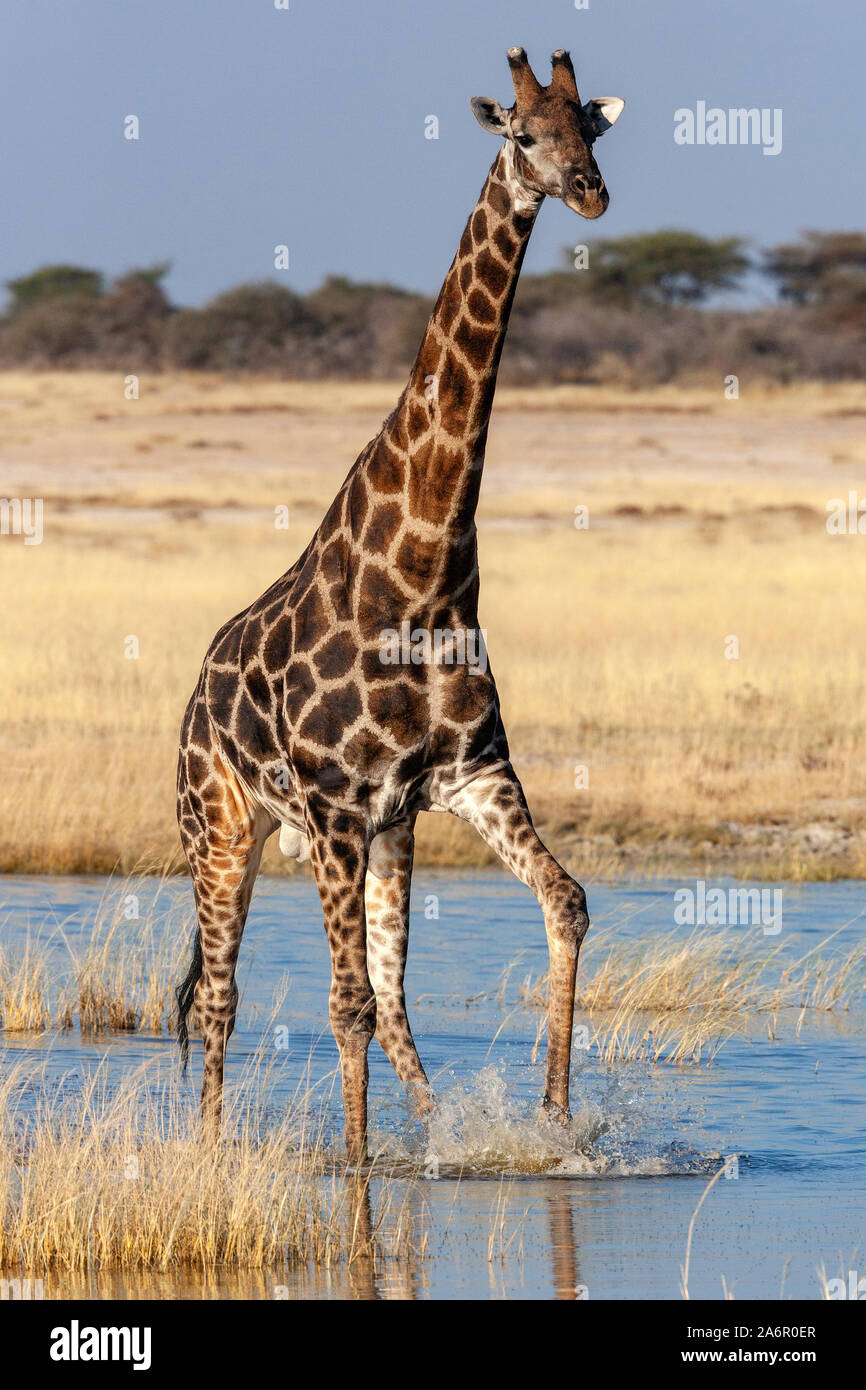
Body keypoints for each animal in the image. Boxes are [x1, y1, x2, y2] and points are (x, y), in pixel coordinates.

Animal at [176, 46, 622, 1162]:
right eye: (522, 133)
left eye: (590, 131)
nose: (588, 192)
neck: (427, 568)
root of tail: (193, 693)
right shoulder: (335, 804)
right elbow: (341, 1003)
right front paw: (355, 1166)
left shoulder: (464, 778)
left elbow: (565, 904)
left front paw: (553, 1124)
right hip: (223, 827)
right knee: (220, 998)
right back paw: (208, 1147)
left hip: (386, 838)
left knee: (392, 997)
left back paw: (422, 1123)